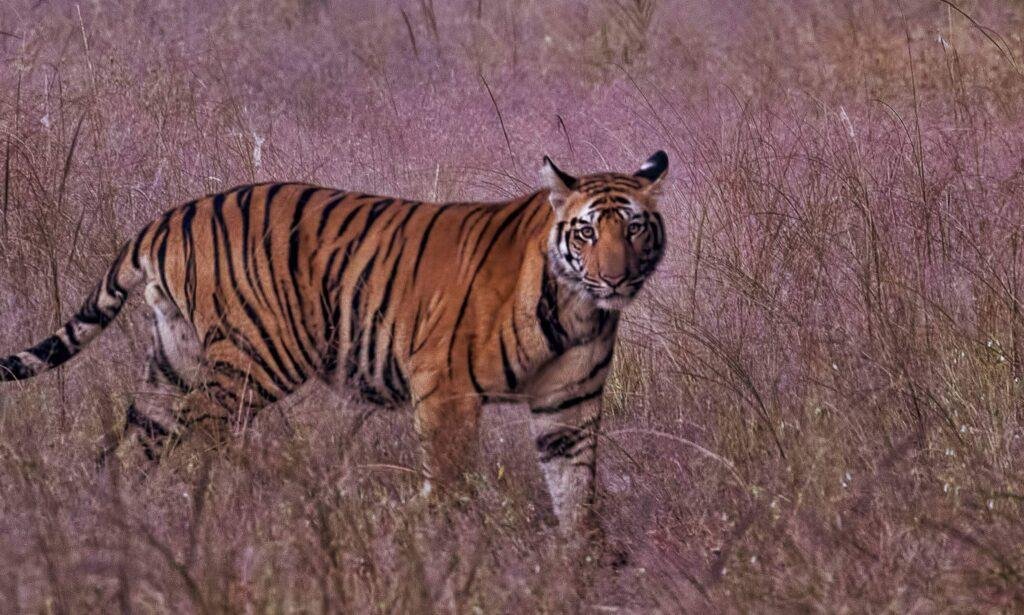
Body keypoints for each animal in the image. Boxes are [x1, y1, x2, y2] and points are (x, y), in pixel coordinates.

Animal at [0, 151, 668, 536]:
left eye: (635, 227)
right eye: (585, 232)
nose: (614, 278)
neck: (579, 308)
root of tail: (169, 215)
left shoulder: (568, 407)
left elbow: (575, 492)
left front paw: (579, 569)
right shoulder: (445, 389)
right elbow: (449, 479)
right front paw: (436, 542)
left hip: (173, 360)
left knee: (135, 447)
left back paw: (129, 524)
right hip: (252, 359)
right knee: (199, 441)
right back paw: (211, 517)